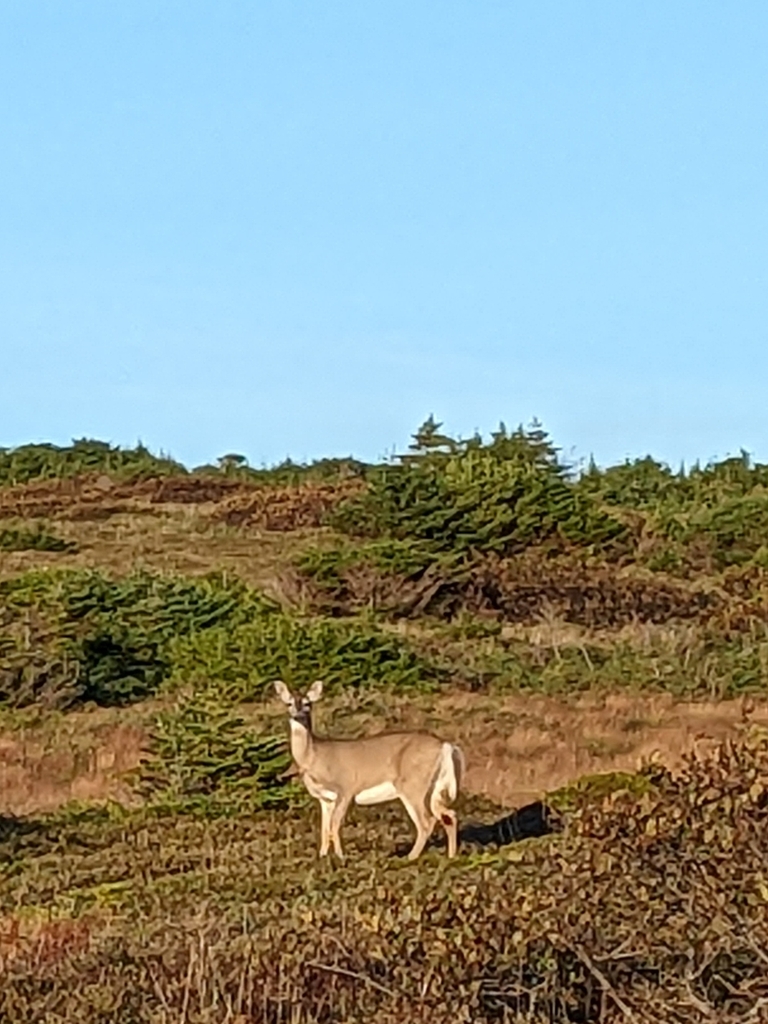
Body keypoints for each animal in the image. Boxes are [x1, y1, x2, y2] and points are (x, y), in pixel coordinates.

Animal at [274, 680, 464, 861]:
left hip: (413, 784)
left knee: (427, 821)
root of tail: (446, 745)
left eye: (307, 703)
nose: (298, 714)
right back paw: (451, 856)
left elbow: (335, 826)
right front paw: (322, 857)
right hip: (435, 787)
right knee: (450, 815)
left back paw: (410, 858)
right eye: (289, 703)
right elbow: (325, 829)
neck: (314, 756)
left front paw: (341, 858)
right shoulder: (324, 799)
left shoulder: (346, 788)